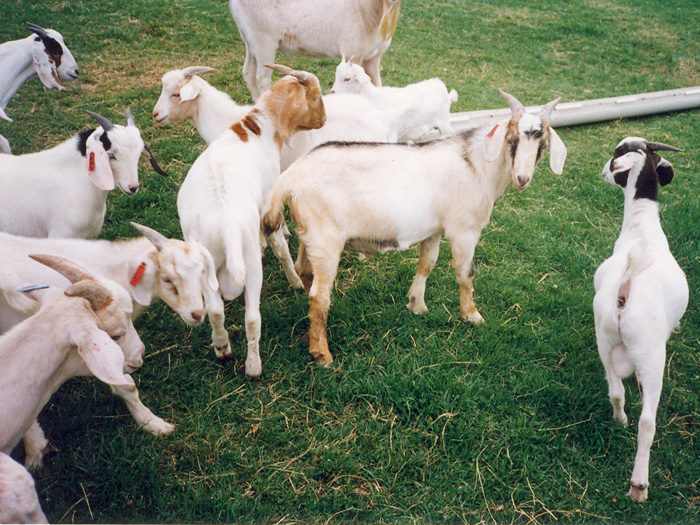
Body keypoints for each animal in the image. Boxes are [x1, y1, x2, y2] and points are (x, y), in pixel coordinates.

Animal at [178, 64, 325, 377]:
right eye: (315, 98)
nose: (323, 119)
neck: (254, 132)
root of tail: (227, 227)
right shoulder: (268, 201)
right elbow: (279, 244)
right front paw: (296, 281)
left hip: (206, 260)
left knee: (215, 310)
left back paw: (223, 348)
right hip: (249, 262)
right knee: (252, 318)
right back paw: (253, 366)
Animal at [229, 0, 401, 100]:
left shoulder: (374, 56)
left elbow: (376, 84)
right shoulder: (352, 52)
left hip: (249, 38)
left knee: (249, 73)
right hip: (263, 40)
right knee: (262, 79)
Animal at [263, 89, 567, 365]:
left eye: (543, 143)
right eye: (512, 137)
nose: (522, 178)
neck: (476, 166)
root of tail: (289, 178)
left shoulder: (433, 230)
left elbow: (427, 263)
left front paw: (416, 304)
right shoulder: (464, 230)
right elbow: (465, 273)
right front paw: (472, 315)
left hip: (309, 236)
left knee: (304, 272)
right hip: (326, 240)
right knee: (319, 295)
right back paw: (322, 354)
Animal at [593, 137, 688, 503]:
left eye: (616, 156)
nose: (603, 172)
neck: (641, 228)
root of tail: (628, 281)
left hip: (604, 340)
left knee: (616, 392)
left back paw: (619, 421)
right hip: (651, 355)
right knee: (647, 421)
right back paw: (639, 483)